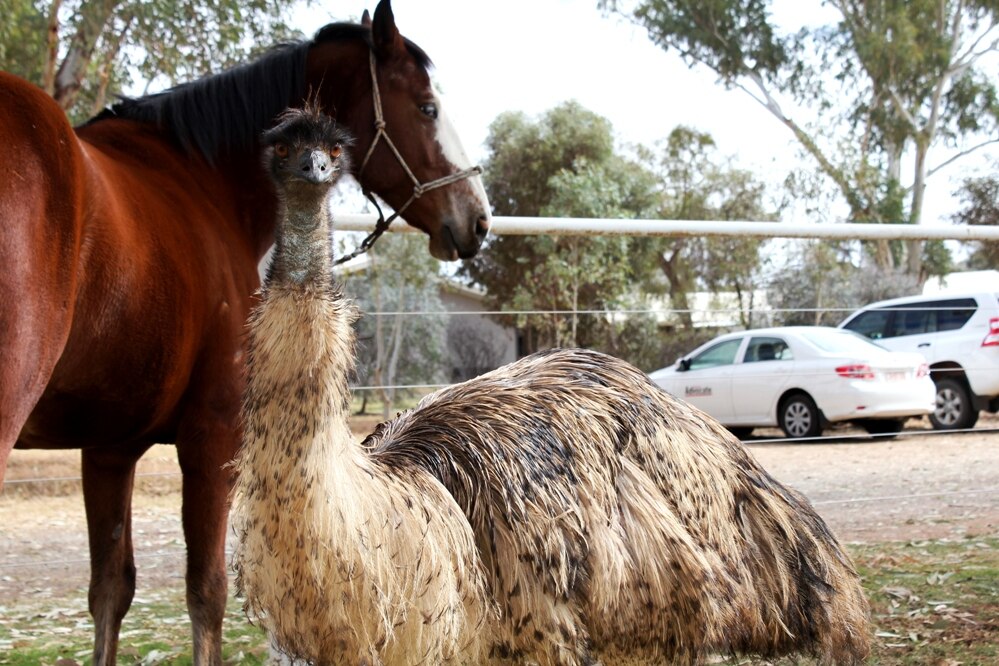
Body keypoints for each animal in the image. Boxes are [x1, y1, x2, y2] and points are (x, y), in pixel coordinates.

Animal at [0, 1, 490, 664]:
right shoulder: (214, 436)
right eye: (426, 107)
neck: (200, 182)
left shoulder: (108, 450)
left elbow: (110, 592)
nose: (478, 220)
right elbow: (207, 592)